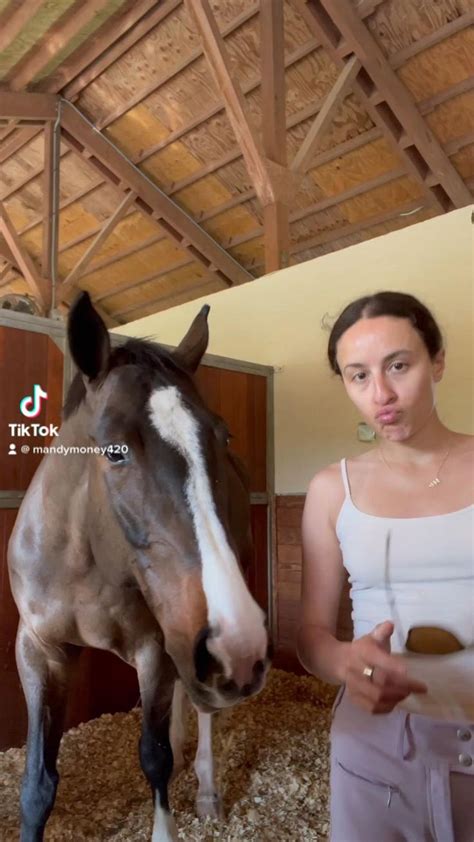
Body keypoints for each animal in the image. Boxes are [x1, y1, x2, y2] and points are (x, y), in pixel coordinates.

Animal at [7, 291, 270, 842]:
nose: (240, 646)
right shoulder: (39, 650)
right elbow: (38, 783)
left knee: (203, 706)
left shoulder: (157, 646)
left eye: (223, 437)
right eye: (114, 450)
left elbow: (155, 757)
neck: (82, 562)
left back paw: (208, 789)